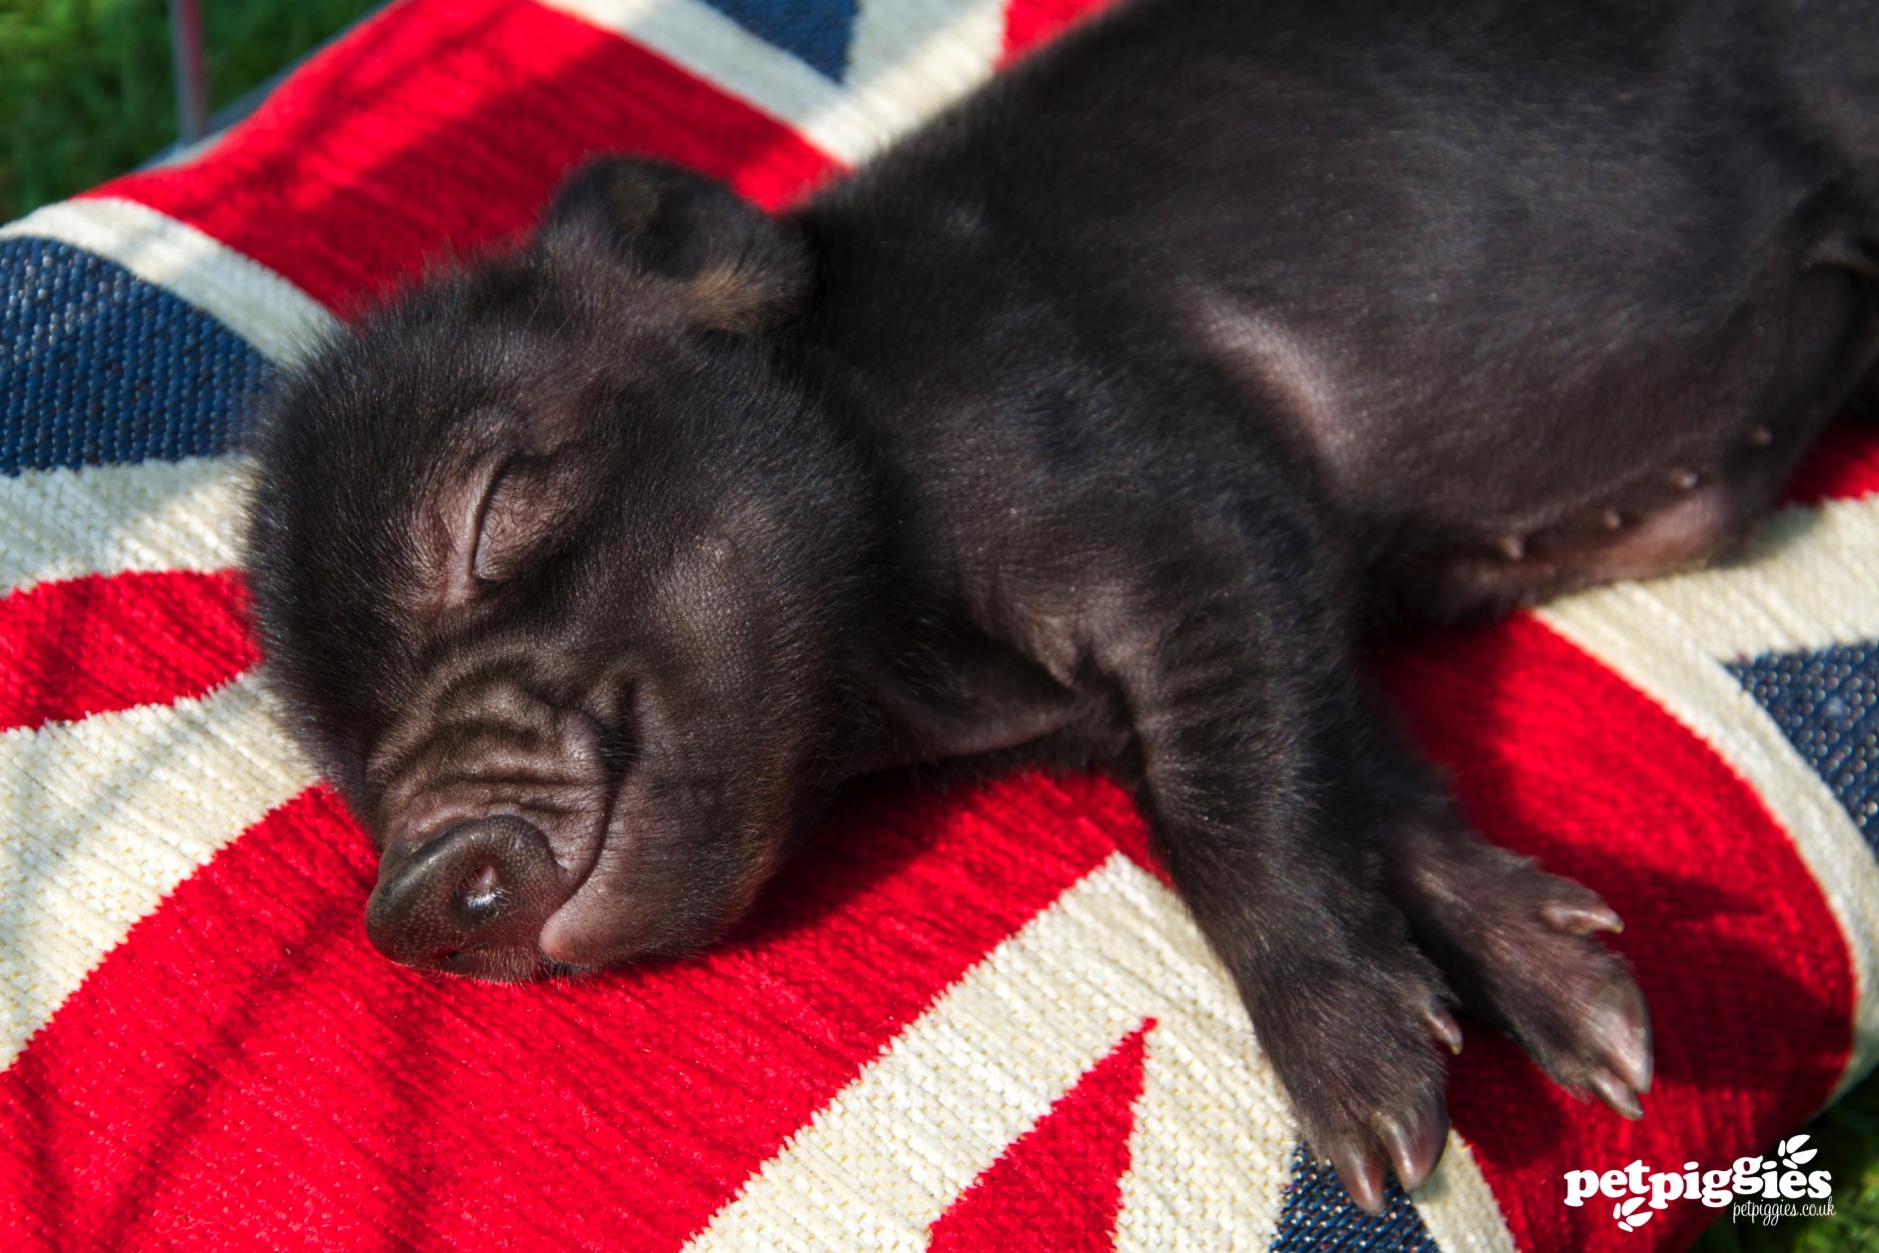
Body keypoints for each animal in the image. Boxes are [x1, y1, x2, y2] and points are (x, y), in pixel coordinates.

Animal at [242, 0, 1879, 1215]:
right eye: (345, 765)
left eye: (491, 510)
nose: (404, 891)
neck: (905, 672)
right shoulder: (1280, 589)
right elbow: (1354, 772)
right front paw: (1599, 1024)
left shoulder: (1177, 501)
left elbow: (1227, 789)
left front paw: (1378, 1132)